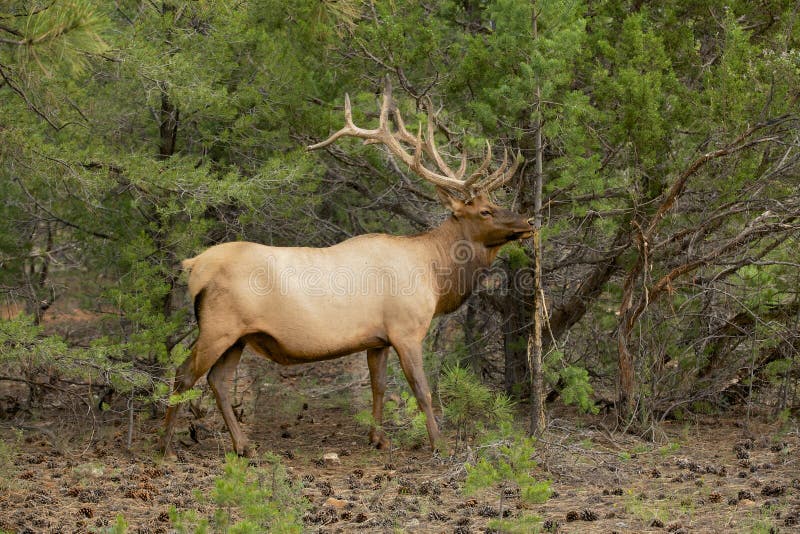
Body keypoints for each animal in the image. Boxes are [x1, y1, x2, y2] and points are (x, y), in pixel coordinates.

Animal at [161, 79, 533, 459]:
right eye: (485, 211)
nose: (528, 222)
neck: (434, 272)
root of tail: (193, 265)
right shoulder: (406, 329)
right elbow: (422, 390)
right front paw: (439, 444)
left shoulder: (378, 339)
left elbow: (378, 385)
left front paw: (378, 438)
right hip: (218, 326)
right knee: (184, 374)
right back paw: (166, 447)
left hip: (239, 336)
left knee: (217, 380)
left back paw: (244, 446)